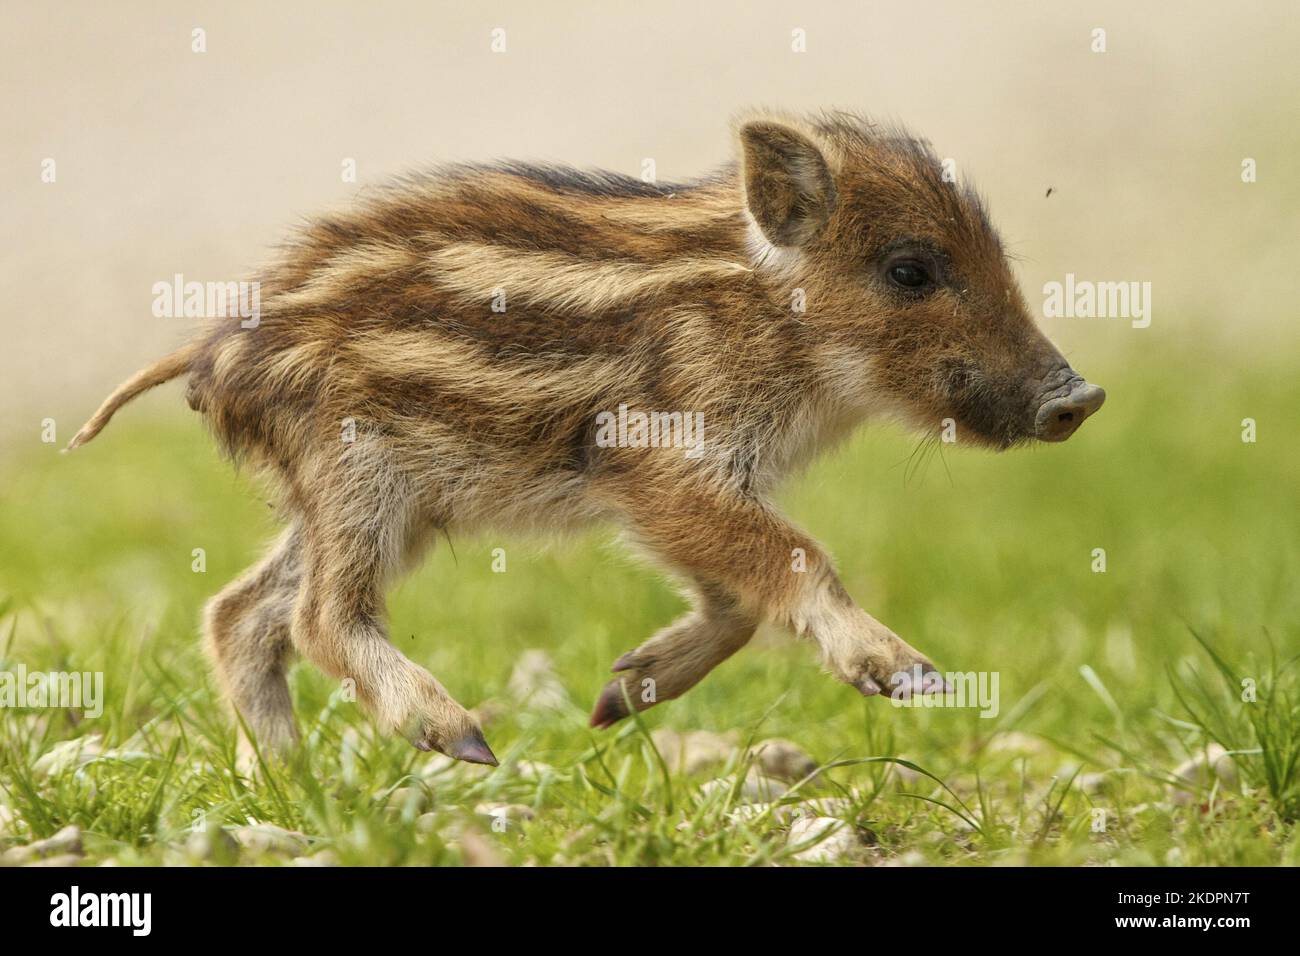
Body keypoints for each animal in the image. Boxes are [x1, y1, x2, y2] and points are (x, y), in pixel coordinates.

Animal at [68, 111, 1104, 766]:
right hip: (359, 473)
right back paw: (459, 739)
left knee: (242, 614)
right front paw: (907, 676)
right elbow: (795, 556)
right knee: (318, 617)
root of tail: (212, 352)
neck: (770, 318)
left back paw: (301, 786)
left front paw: (618, 697)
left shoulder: (678, 490)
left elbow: (738, 592)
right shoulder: (656, 457)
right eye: (909, 269)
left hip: (373, 500)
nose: (1079, 397)